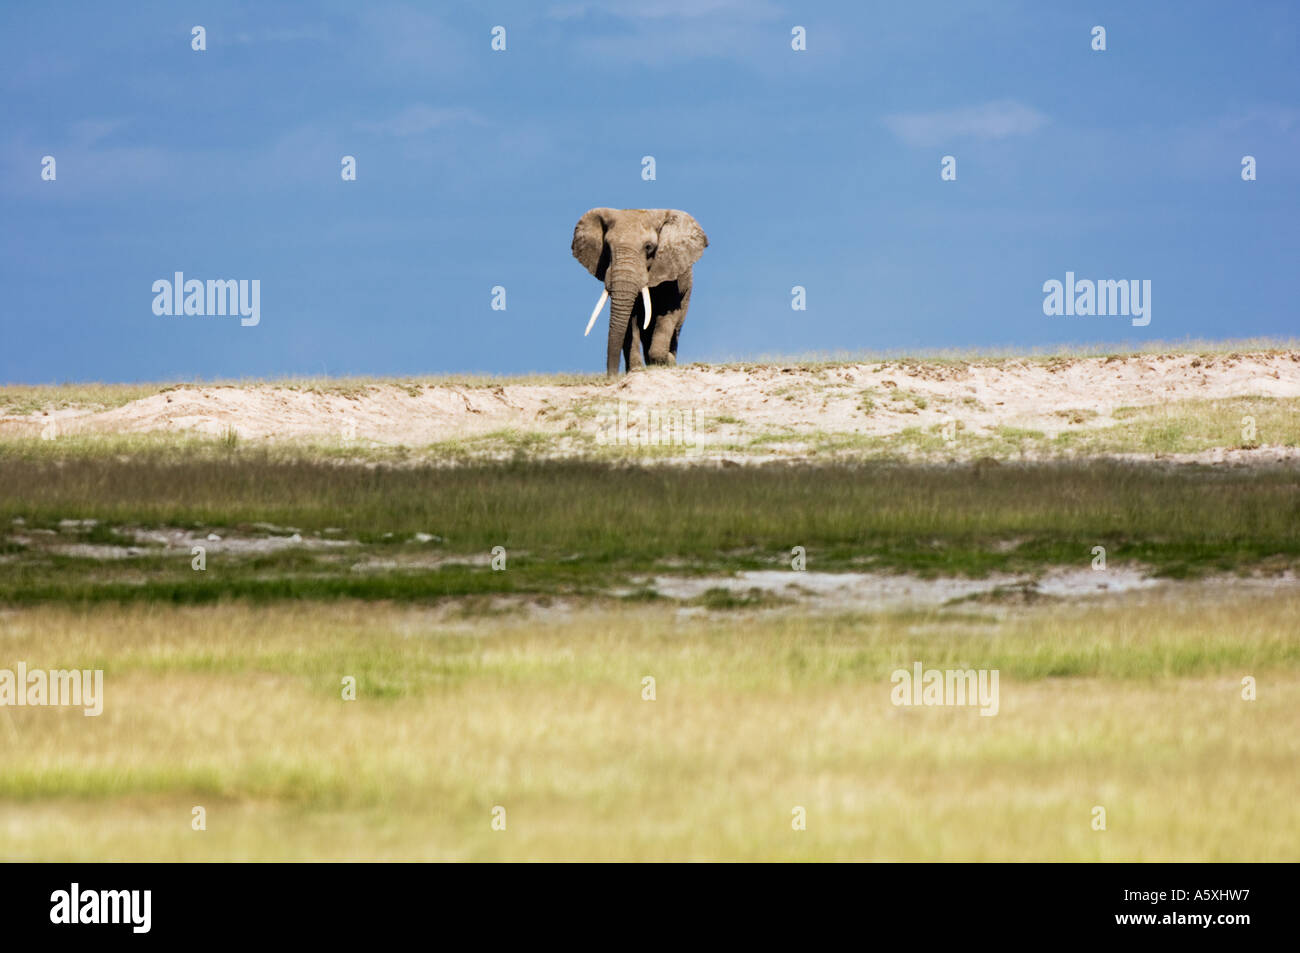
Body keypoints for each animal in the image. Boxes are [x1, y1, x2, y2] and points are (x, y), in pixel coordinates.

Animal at [572, 208, 708, 375]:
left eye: (648, 247)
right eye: (607, 247)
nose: (611, 377)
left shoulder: (671, 274)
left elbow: (668, 314)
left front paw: (667, 360)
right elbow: (630, 321)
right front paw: (636, 370)